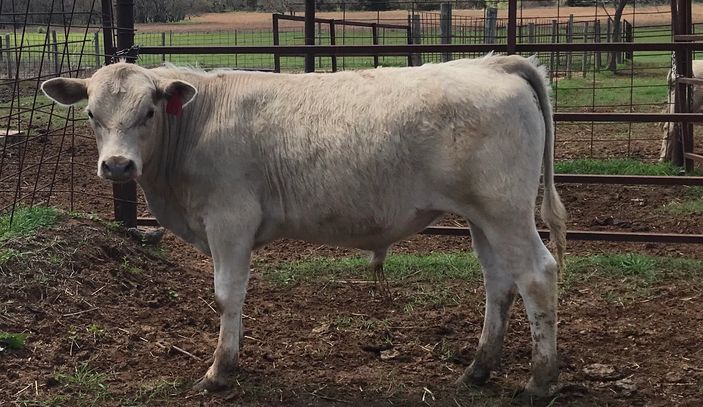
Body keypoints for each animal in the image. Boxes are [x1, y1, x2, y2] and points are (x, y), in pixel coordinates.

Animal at [41, 54, 567, 398]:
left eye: (148, 112)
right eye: (91, 114)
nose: (117, 166)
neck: (196, 124)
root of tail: (491, 63)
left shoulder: (230, 220)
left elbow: (227, 294)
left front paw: (220, 370)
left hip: (506, 210)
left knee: (537, 275)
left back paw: (540, 380)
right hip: (482, 217)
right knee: (498, 282)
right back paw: (478, 370)